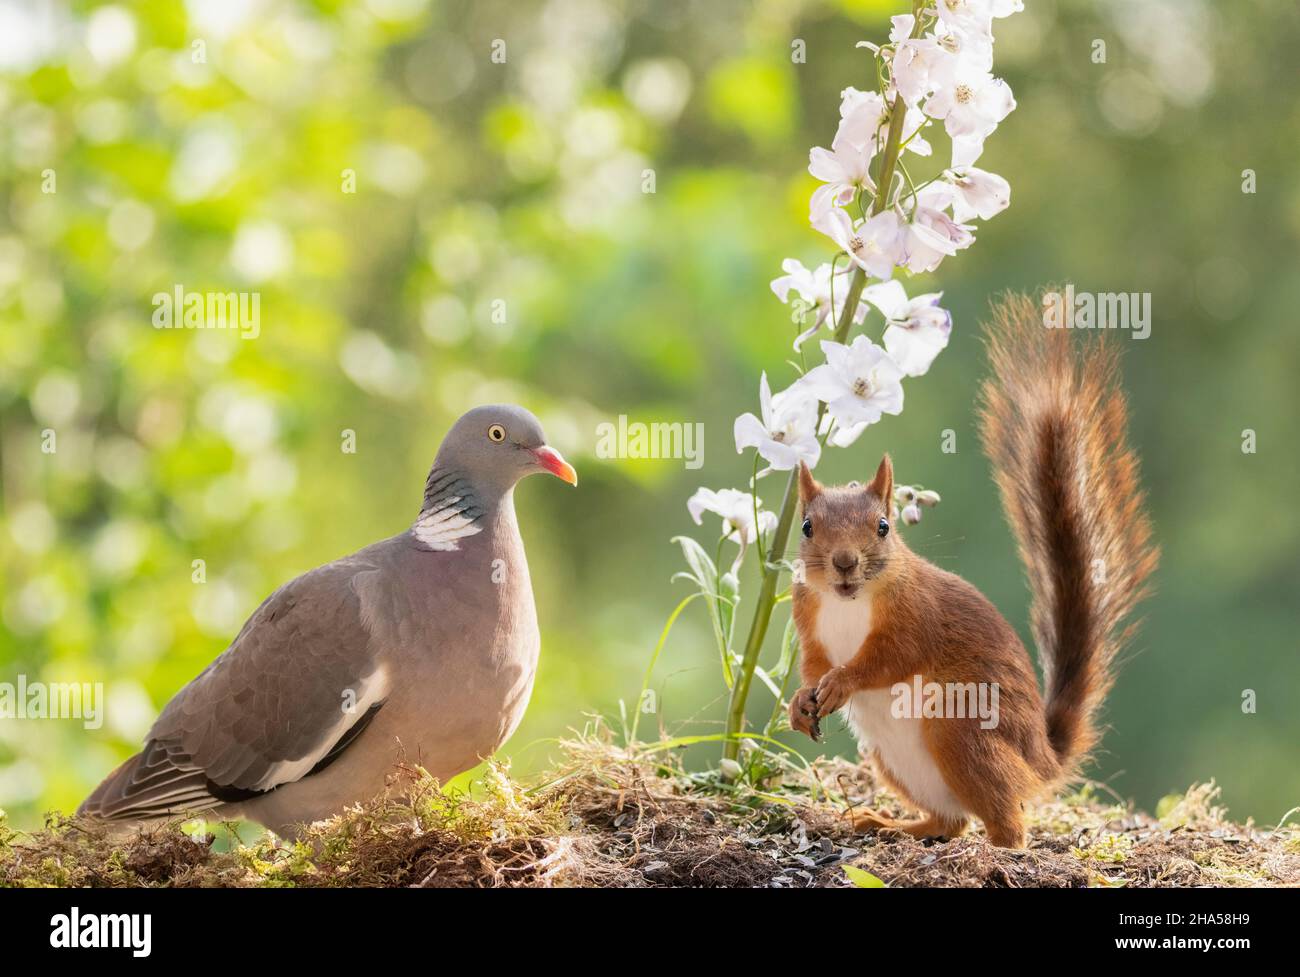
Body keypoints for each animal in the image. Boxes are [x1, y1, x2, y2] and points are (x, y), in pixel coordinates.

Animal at [787, 293, 1158, 849]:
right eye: (807, 526)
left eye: (883, 526)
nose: (845, 562)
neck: (847, 602)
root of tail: (1039, 758)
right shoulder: (809, 621)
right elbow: (812, 663)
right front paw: (800, 701)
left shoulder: (915, 617)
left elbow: (888, 658)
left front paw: (842, 682)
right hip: (892, 760)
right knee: (951, 820)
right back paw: (890, 824)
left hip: (960, 731)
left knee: (1006, 822)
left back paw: (1001, 844)